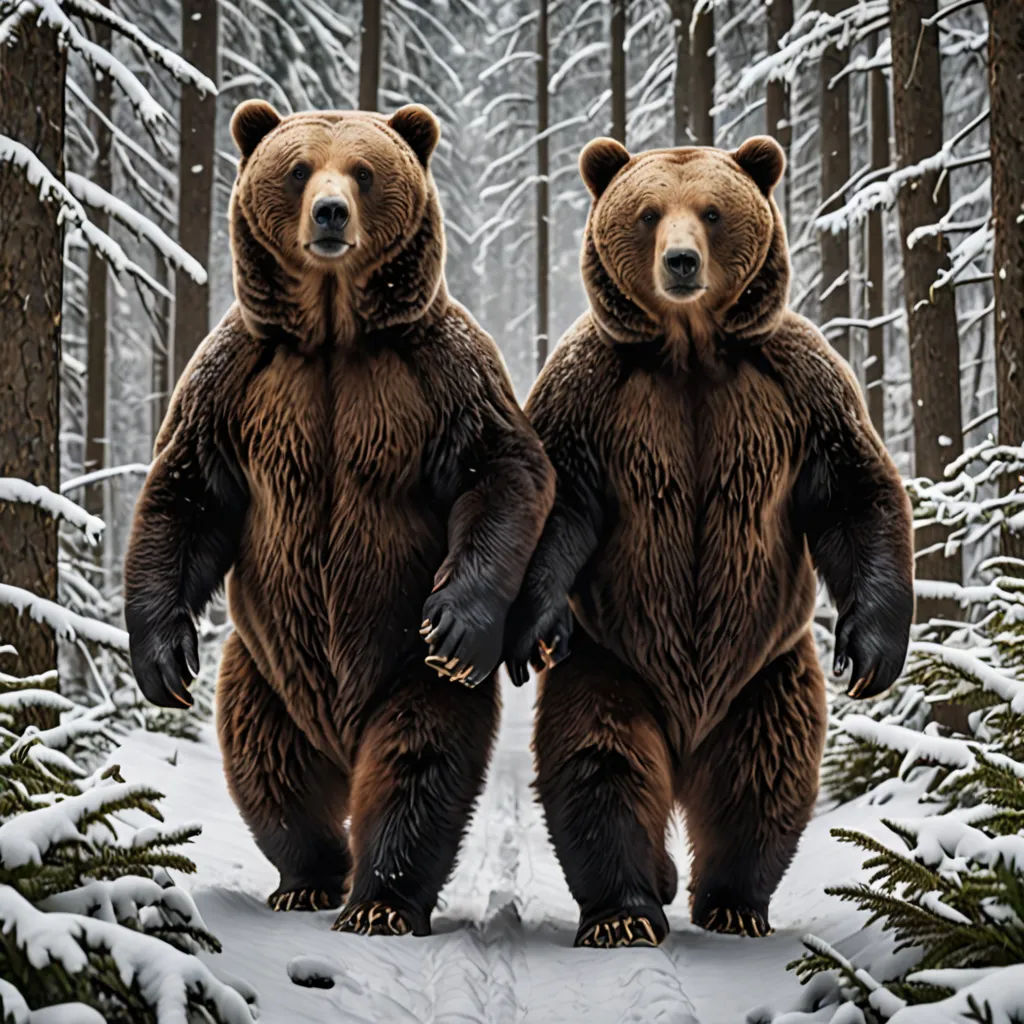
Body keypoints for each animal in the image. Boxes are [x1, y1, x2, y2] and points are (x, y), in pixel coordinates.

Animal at [123, 100, 554, 938]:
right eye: (298, 168)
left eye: (363, 170)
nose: (329, 212)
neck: (332, 328)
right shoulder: (240, 377)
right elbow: (186, 491)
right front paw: (162, 659)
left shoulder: (433, 369)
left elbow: (498, 468)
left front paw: (458, 619)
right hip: (262, 666)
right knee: (267, 761)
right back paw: (310, 875)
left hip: (401, 666)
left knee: (417, 760)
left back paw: (381, 896)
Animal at [503, 135, 914, 948]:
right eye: (648, 212)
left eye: (714, 211)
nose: (682, 261)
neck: (689, 347)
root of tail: (688, 734)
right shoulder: (595, 390)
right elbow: (560, 497)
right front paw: (535, 625)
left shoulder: (796, 385)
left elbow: (853, 490)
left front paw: (874, 653)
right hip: (614, 659)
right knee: (601, 760)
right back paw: (628, 906)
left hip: (767, 669)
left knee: (762, 772)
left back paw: (733, 901)